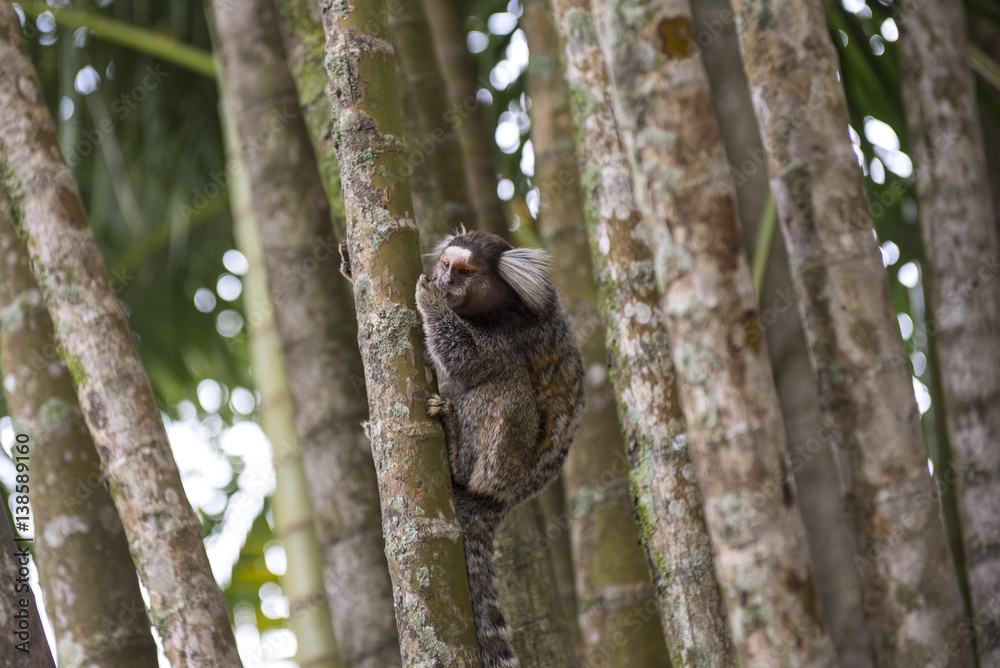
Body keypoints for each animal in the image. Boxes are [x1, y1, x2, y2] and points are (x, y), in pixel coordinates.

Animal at [414, 229, 586, 668]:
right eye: (446, 264)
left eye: (465, 272)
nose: (444, 282)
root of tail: (500, 502)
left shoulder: (513, 335)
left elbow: (471, 361)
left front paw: (431, 301)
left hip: (502, 468)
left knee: (507, 386)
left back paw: (455, 450)